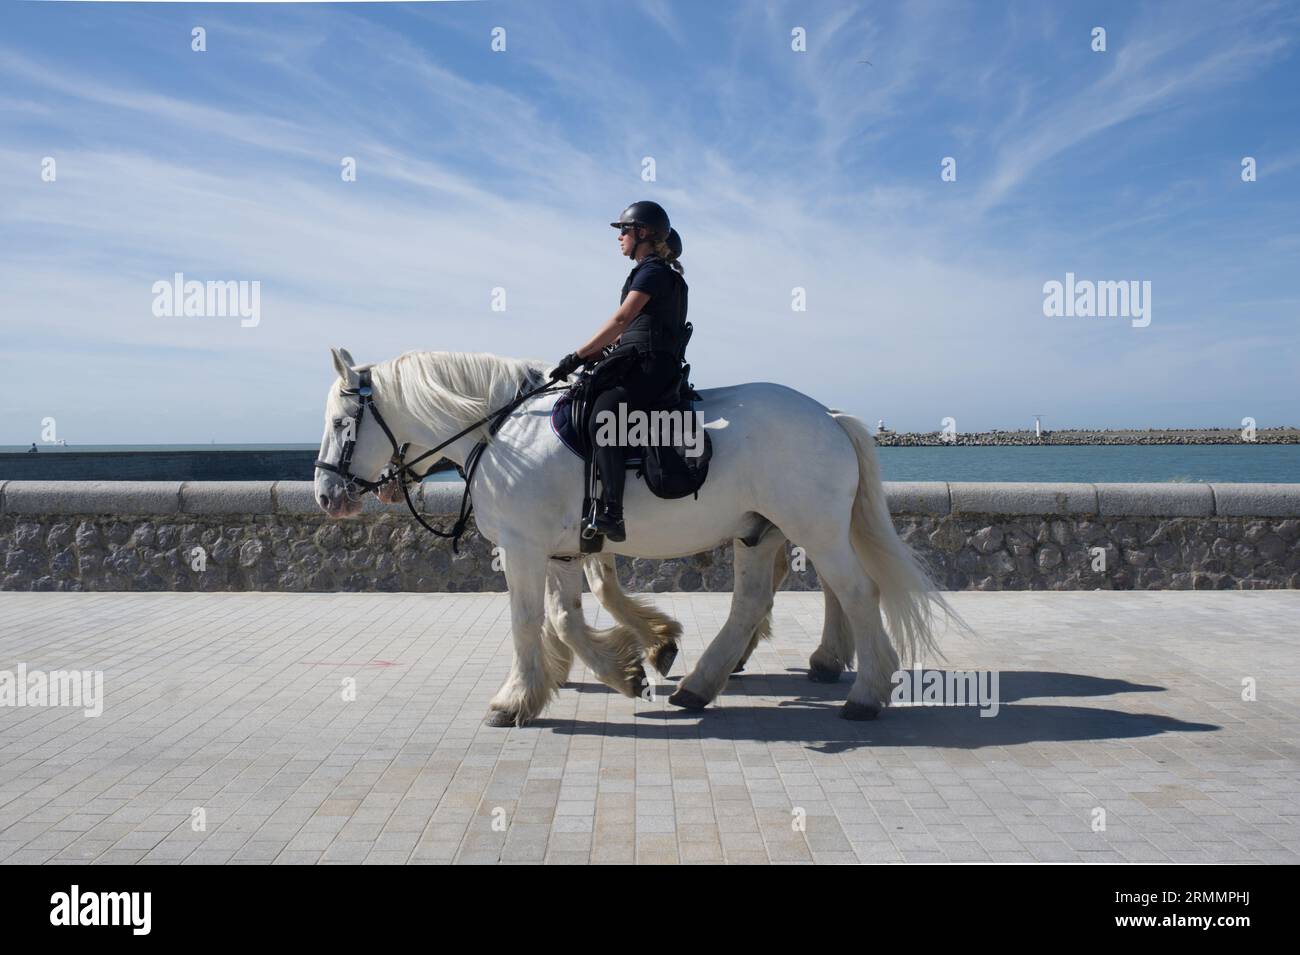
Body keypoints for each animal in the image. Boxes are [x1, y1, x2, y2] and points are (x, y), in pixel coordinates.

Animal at [314, 347, 964, 727]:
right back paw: (702, 685)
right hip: (760, 532)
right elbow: (566, 617)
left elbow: (531, 621)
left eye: (342, 423)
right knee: (756, 600)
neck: (502, 433)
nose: (325, 495)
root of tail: (827, 416)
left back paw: (865, 694)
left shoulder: (523, 547)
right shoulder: (561, 548)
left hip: (814, 527)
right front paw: (623, 666)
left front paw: (516, 698)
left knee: (855, 593)